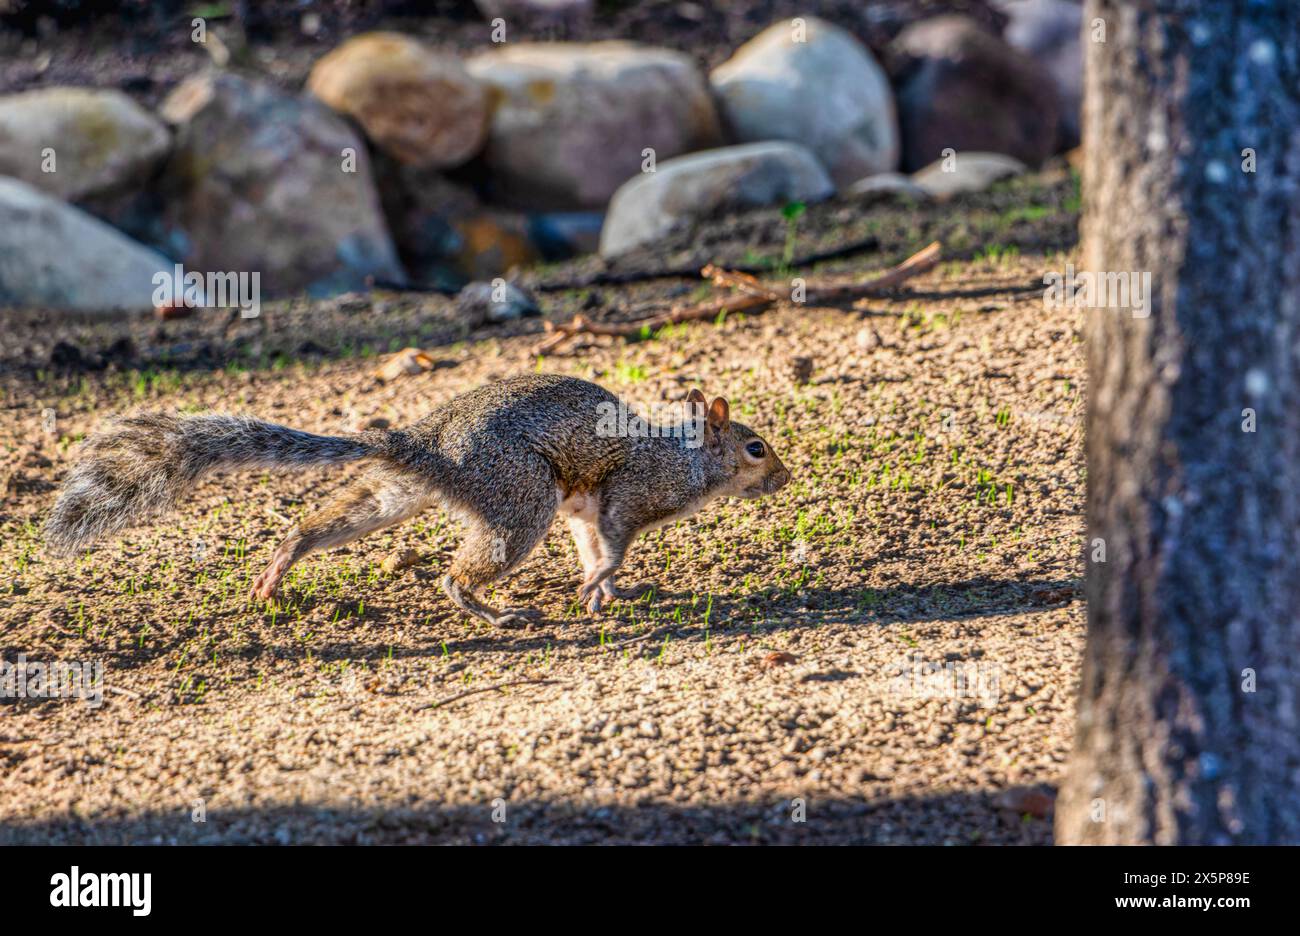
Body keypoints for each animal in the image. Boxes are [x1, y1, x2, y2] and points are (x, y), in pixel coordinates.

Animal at [45, 374, 791, 625]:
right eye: (756, 448)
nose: (784, 478)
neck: (687, 458)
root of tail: (425, 445)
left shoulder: (586, 511)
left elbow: (590, 550)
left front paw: (603, 593)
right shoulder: (630, 495)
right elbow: (611, 545)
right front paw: (603, 586)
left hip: (394, 495)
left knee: (316, 525)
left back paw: (277, 570)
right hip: (520, 504)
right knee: (455, 576)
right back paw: (494, 613)